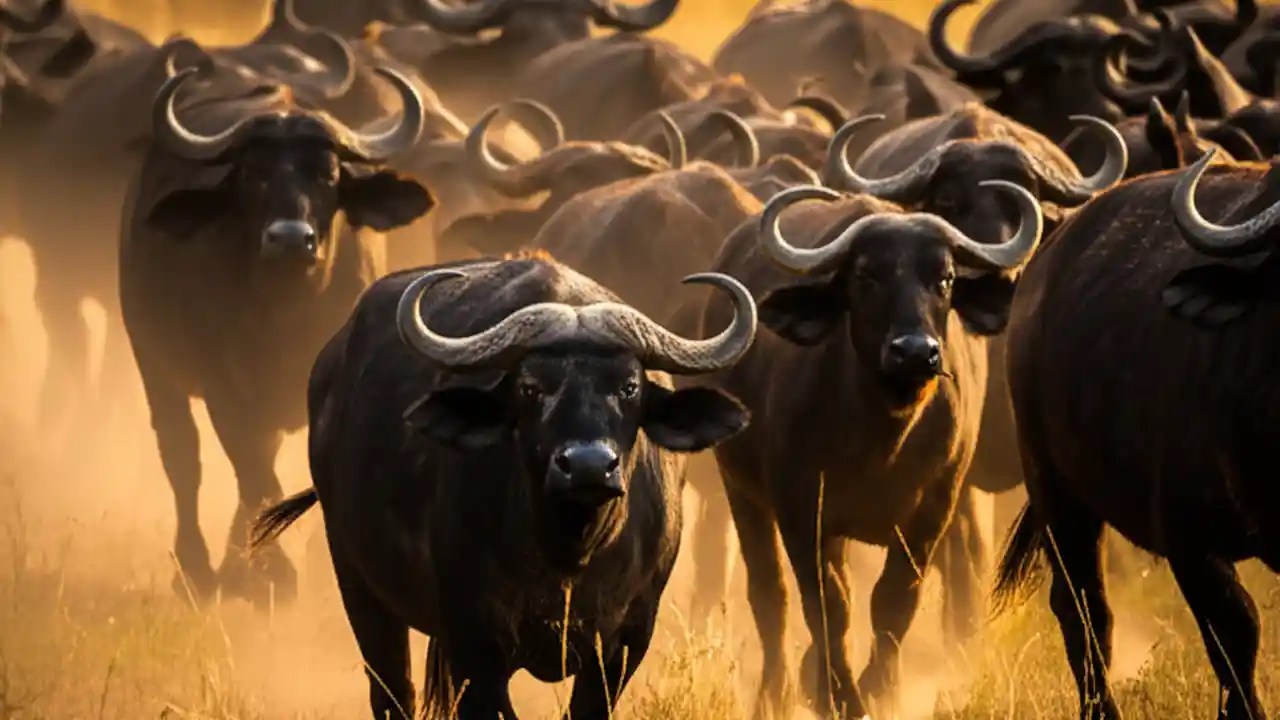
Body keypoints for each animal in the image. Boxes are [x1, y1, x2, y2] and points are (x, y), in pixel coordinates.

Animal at [120, 65, 431, 603]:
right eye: (253, 174)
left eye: (328, 175)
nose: (289, 239)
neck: (286, 315)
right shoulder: (223, 388)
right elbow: (252, 471)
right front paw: (276, 575)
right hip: (151, 359)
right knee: (183, 456)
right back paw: (197, 569)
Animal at [252, 257, 756, 719]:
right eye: (531, 387)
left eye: (629, 386)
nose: (588, 466)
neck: (568, 552)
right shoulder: (475, 643)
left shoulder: (626, 640)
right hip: (358, 583)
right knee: (393, 694)